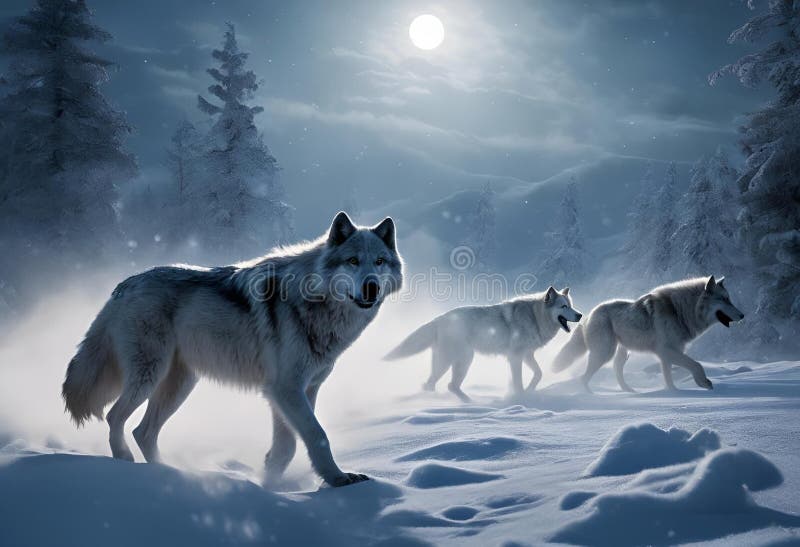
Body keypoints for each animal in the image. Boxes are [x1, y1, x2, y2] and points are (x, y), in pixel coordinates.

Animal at [62, 212, 403, 488]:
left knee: (142, 432)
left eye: (380, 262)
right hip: (149, 376)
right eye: (353, 261)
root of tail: (123, 286)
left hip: (179, 385)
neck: (315, 301)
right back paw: (126, 463)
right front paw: (337, 479)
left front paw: (269, 485)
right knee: (115, 417)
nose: (371, 287)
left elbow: (287, 446)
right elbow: (317, 437)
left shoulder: (298, 390)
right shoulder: (286, 388)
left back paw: (166, 473)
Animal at [384, 287, 582, 402]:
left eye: (571, 305)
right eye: (563, 306)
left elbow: (538, 374)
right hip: (462, 360)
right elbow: (518, 382)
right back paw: (471, 403)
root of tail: (439, 319)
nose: (580, 315)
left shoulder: (526, 355)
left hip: (449, 363)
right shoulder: (515, 357)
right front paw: (520, 399)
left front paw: (530, 390)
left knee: (432, 384)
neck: (535, 317)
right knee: (448, 385)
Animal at [552, 276, 744, 392]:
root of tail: (588, 315)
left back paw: (629, 391)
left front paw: (674, 393)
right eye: (725, 300)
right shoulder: (667, 351)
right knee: (584, 378)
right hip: (604, 353)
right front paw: (704, 383)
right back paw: (590, 395)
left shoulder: (669, 353)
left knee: (616, 370)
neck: (679, 311)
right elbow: (696, 365)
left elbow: (669, 378)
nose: (743, 315)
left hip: (622, 353)